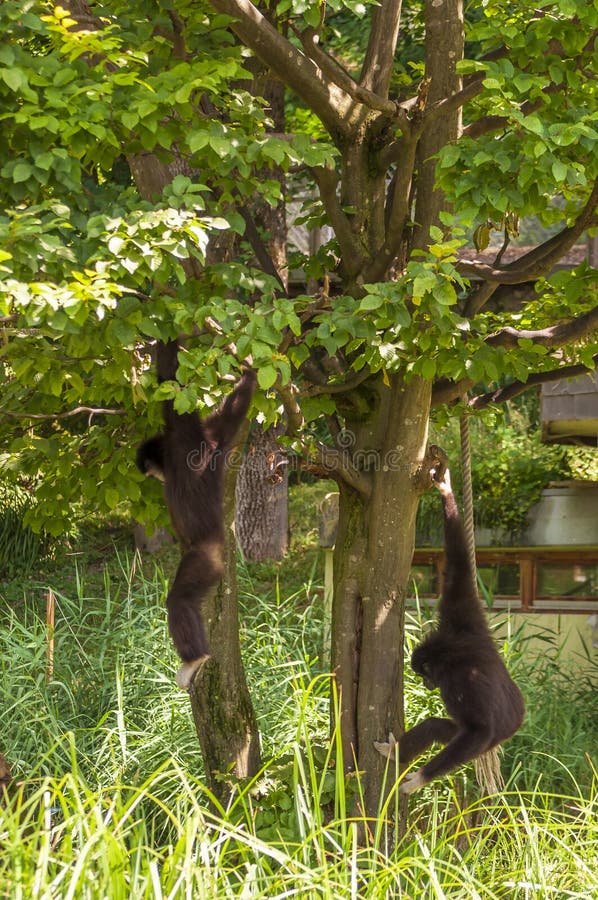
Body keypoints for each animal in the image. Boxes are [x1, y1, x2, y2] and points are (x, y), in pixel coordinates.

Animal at [136, 340, 256, 690]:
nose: (153, 476)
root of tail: (220, 546)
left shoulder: (183, 438)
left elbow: (172, 383)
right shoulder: (211, 438)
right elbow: (229, 418)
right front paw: (250, 371)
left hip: (205, 561)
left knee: (180, 600)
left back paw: (195, 659)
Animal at [374, 448, 525, 794]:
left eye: (424, 675)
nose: (427, 684)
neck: (449, 651)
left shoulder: (462, 680)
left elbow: (480, 729)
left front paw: (420, 778)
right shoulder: (463, 620)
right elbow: (458, 570)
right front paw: (445, 487)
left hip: (488, 741)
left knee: (464, 734)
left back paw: (396, 754)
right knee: (436, 727)